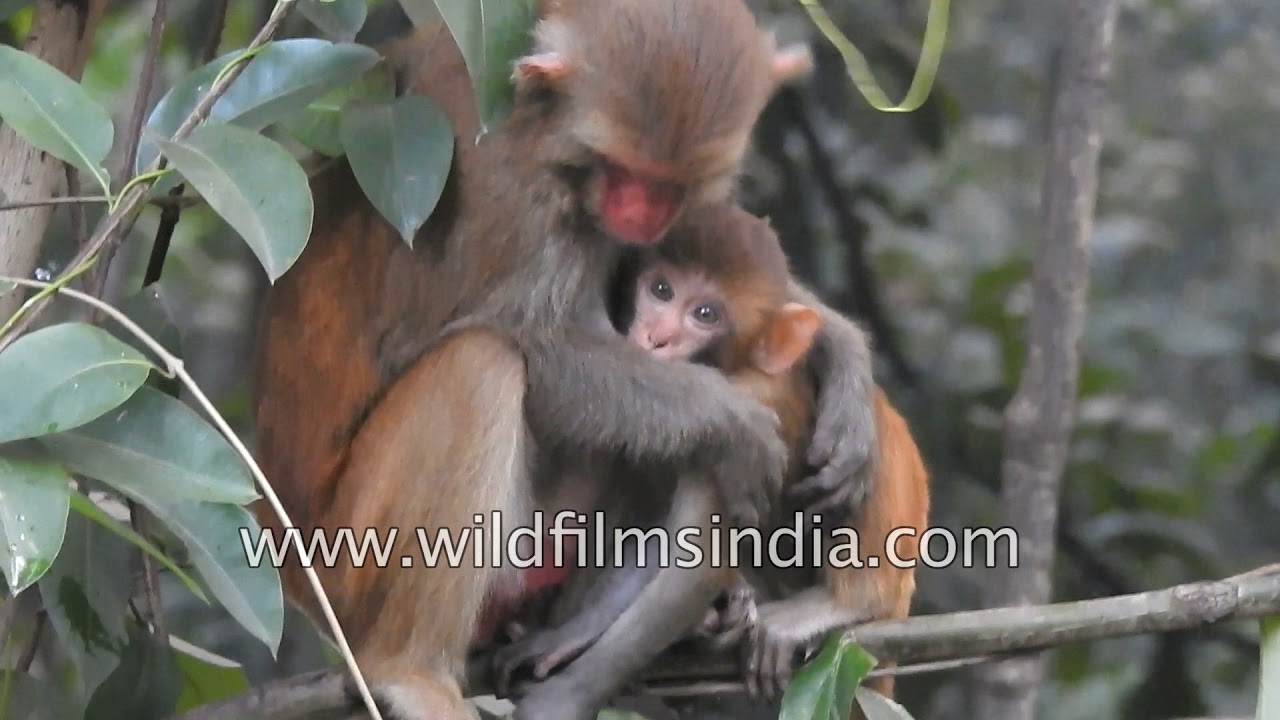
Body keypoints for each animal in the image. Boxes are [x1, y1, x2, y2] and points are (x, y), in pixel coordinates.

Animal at [253, 2, 880, 719]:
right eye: (625, 170)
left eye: (674, 184)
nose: (641, 214)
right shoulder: (505, 180)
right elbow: (532, 339)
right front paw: (735, 423)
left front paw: (845, 362)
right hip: (348, 555)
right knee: (481, 365)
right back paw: (409, 670)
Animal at [491, 203, 928, 717]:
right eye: (662, 290)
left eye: (705, 314)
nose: (656, 337)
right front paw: (570, 635)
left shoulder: (745, 416)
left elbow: (696, 561)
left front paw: (566, 696)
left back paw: (849, 599)